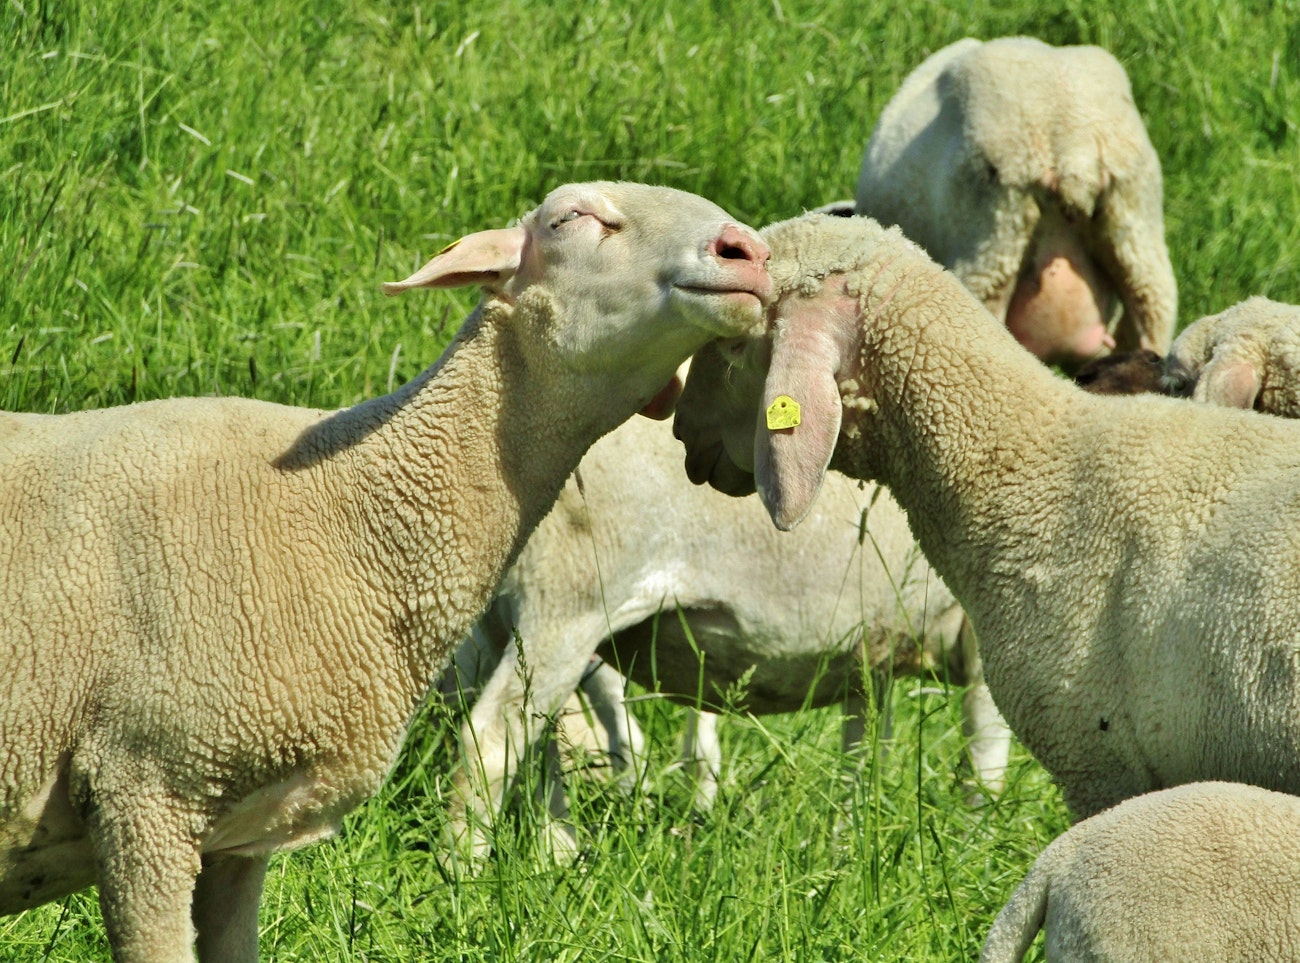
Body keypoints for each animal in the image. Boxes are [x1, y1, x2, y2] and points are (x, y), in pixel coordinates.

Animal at [440, 411, 1008, 861]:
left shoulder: (871, 652)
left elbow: (864, 753)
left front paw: (848, 850)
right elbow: (984, 765)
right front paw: (977, 854)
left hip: (508, 620)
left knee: (538, 743)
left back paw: (558, 858)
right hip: (566, 601)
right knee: (491, 741)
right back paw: (464, 875)